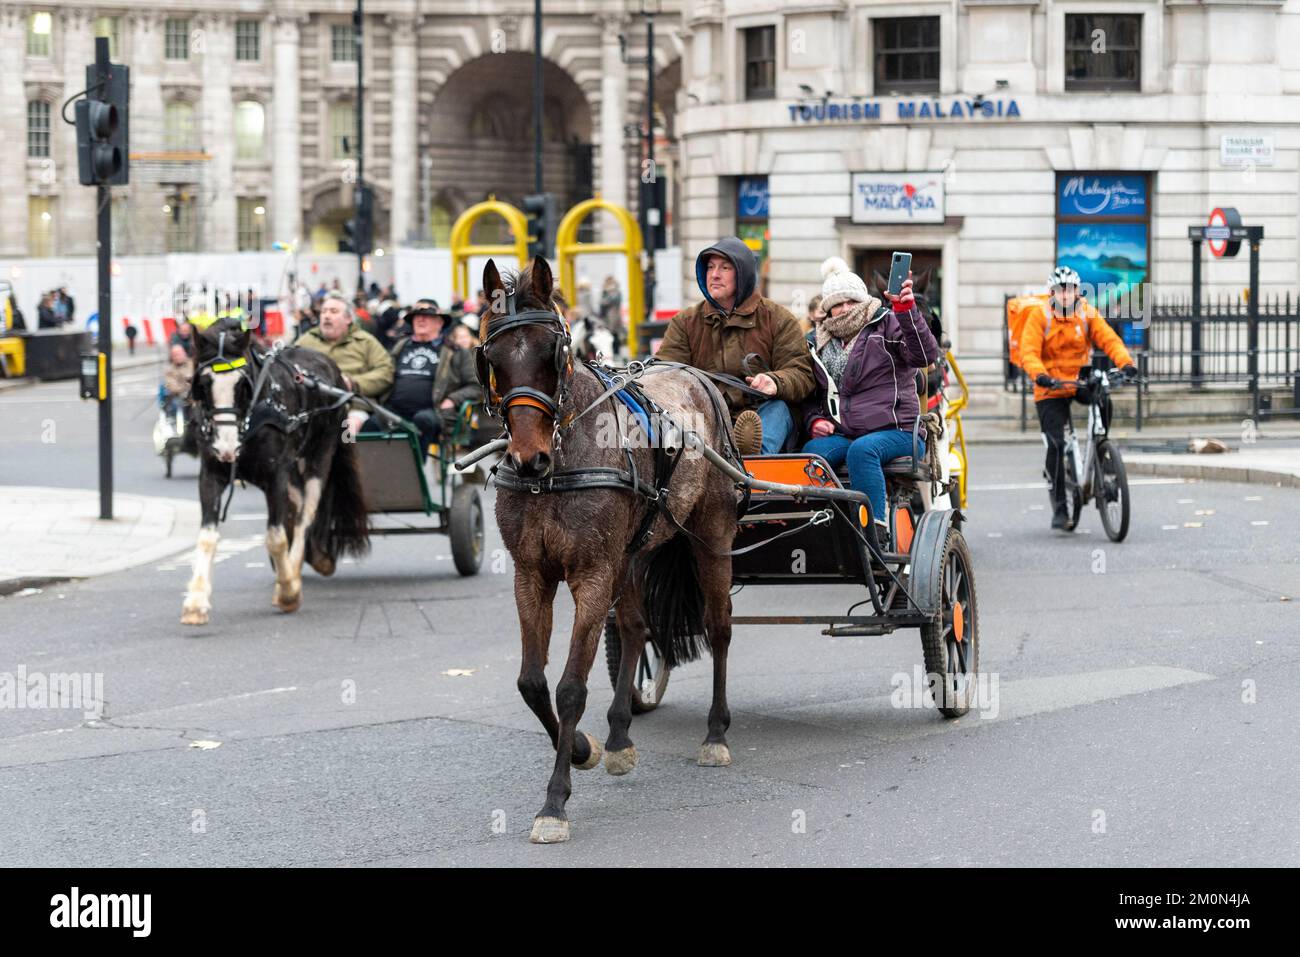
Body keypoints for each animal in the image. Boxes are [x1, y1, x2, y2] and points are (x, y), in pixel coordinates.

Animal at [181, 317, 370, 626]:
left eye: (242, 384)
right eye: (204, 384)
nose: (227, 447)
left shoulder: (275, 476)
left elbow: (276, 537)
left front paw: (288, 592)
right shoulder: (211, 475)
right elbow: (207, 537)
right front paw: (196, 602)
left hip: (319, 458)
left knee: (306, 514)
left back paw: (294, 572)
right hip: (293, 471)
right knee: (297, 507)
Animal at [478, 255, 739, 844]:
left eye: (553, 350)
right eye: (492, 356)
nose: (527, 459)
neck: (558, 465)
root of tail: (696, 375)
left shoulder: (592, 574)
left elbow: (571, 688)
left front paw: (555, 801)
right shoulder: (531, 574)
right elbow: (532, 683)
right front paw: (583, 748)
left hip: (712, 537)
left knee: (718, 629)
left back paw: (716, 732)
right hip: (634, 551)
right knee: (637, 627)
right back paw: (619, 736)